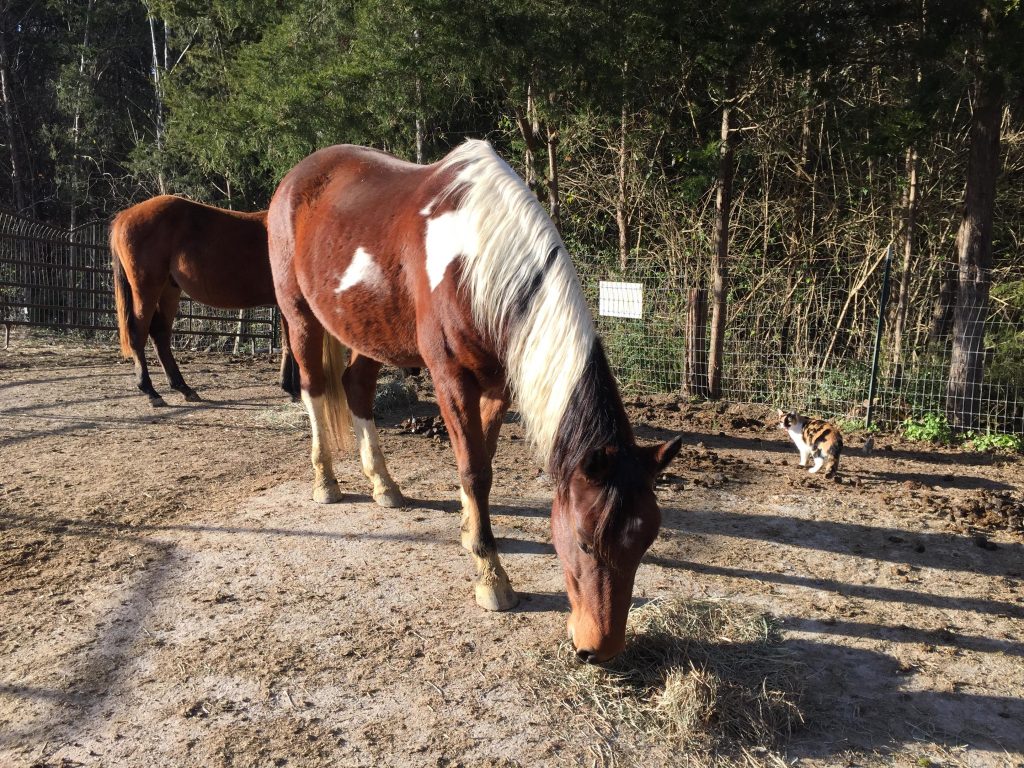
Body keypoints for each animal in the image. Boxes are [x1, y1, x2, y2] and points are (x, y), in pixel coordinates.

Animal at [110, 195, 299, 406]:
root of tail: (124, 216)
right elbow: (292, 344)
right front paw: (293, 389)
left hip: (168, 289)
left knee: (160, 335)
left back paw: (183, 388)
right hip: (146, 289)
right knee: (138, 333)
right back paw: (151, 392)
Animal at [268, 140, 681, 663]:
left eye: (646, 541)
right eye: (585, 542)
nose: (599, 648)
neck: (473, 261)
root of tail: (298, 176)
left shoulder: (499, 384)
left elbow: (485, 457)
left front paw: (470, 533)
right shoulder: (451, 378)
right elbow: (473, 470)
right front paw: (492, 577)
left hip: (367, 330)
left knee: (357, 388)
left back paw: (384, 485)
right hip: (299, 314)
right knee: (315, 389)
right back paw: (326, 481)